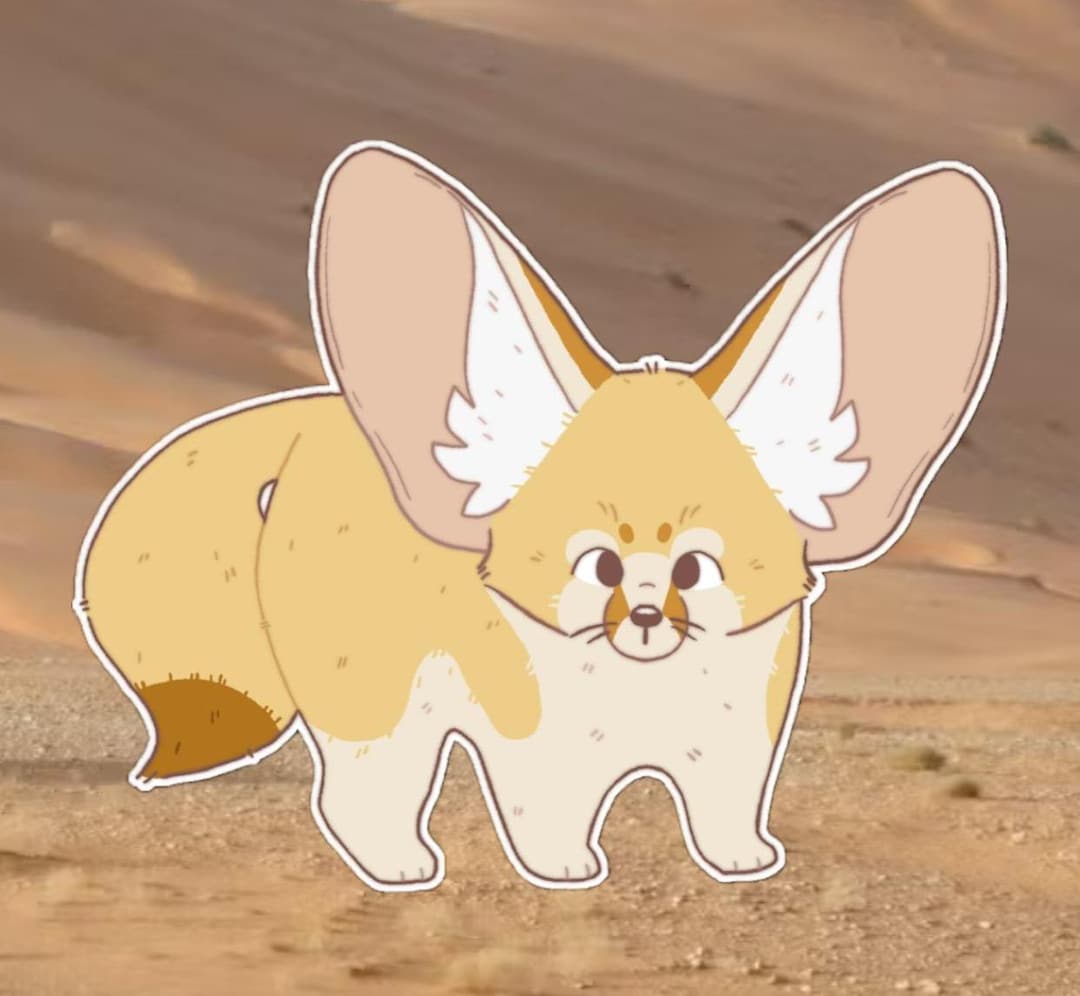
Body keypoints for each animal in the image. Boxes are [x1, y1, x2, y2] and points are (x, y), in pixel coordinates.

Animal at [74, 141, 1006, 893]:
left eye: (697, 567)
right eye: (595, 562)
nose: (643, 617)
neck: (648, 694)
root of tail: (313, 421)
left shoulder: (738, 747)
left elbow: (726, 811)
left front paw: (742, 861)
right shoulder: (538, 746)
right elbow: (545, 814)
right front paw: (565, 871)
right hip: (379, 700)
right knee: (356, 790)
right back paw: (400, 866)